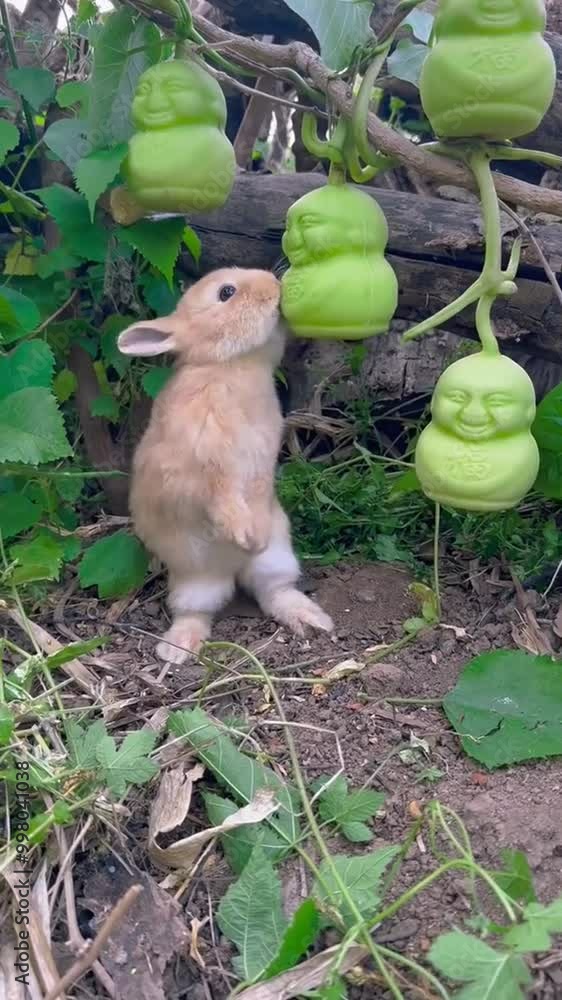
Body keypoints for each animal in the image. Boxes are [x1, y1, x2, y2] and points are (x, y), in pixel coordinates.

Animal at [118, 266, 333, 664]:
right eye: (226, 292)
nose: (274, 286)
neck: (229, 365)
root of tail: (232, 571)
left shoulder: (258, 466)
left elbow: (255, 492)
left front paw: (254, 536)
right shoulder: (206, 470)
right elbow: (222, 500)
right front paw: (245, 534)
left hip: (277, 558)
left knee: (274, 591)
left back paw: (311, 618)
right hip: (194, 579)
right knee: (196, 610)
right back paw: (177, 649)